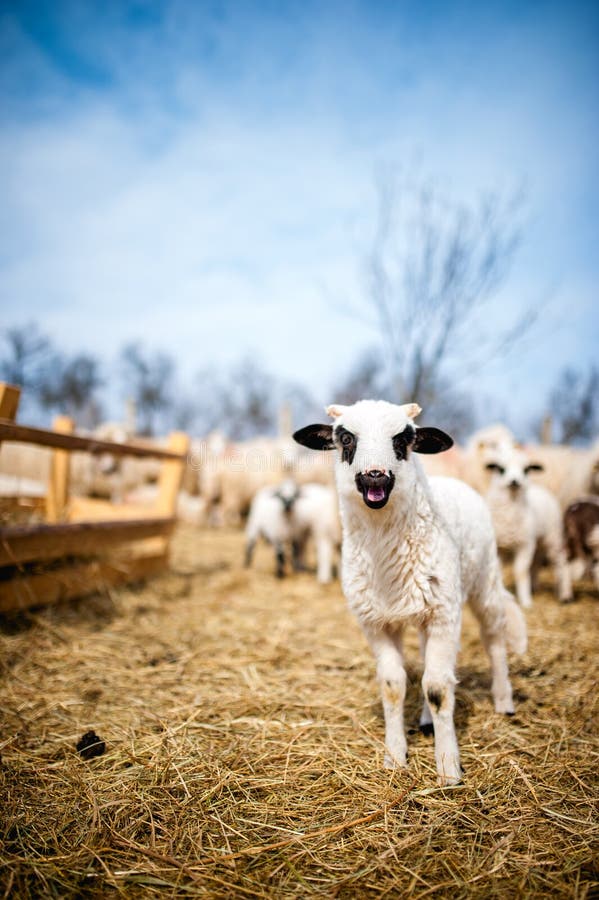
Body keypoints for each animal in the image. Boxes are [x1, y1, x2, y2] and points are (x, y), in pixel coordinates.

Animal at [294, 399, 526, 786]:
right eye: (346, 438)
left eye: (404, 438)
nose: (375, 475)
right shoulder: (376, 623)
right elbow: (393, 685)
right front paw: (395, 756)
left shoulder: (445, 614)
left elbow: (438, 689)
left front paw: (448, 768)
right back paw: (427, 722)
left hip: (484, 581)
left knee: (494, 639)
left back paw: (503, 700)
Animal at [485, 446, 573, 607]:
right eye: (501, 469)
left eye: (526, 470)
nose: (514, 481)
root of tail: (539, 488)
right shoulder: (498, 546)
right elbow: (499, 571)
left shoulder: (524, 544)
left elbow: (520, 571)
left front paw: (525, 601)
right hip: (537, 539)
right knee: (536, 561)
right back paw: (534, 586)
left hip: (553, 535)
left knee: (560, 562)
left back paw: (565, 595)